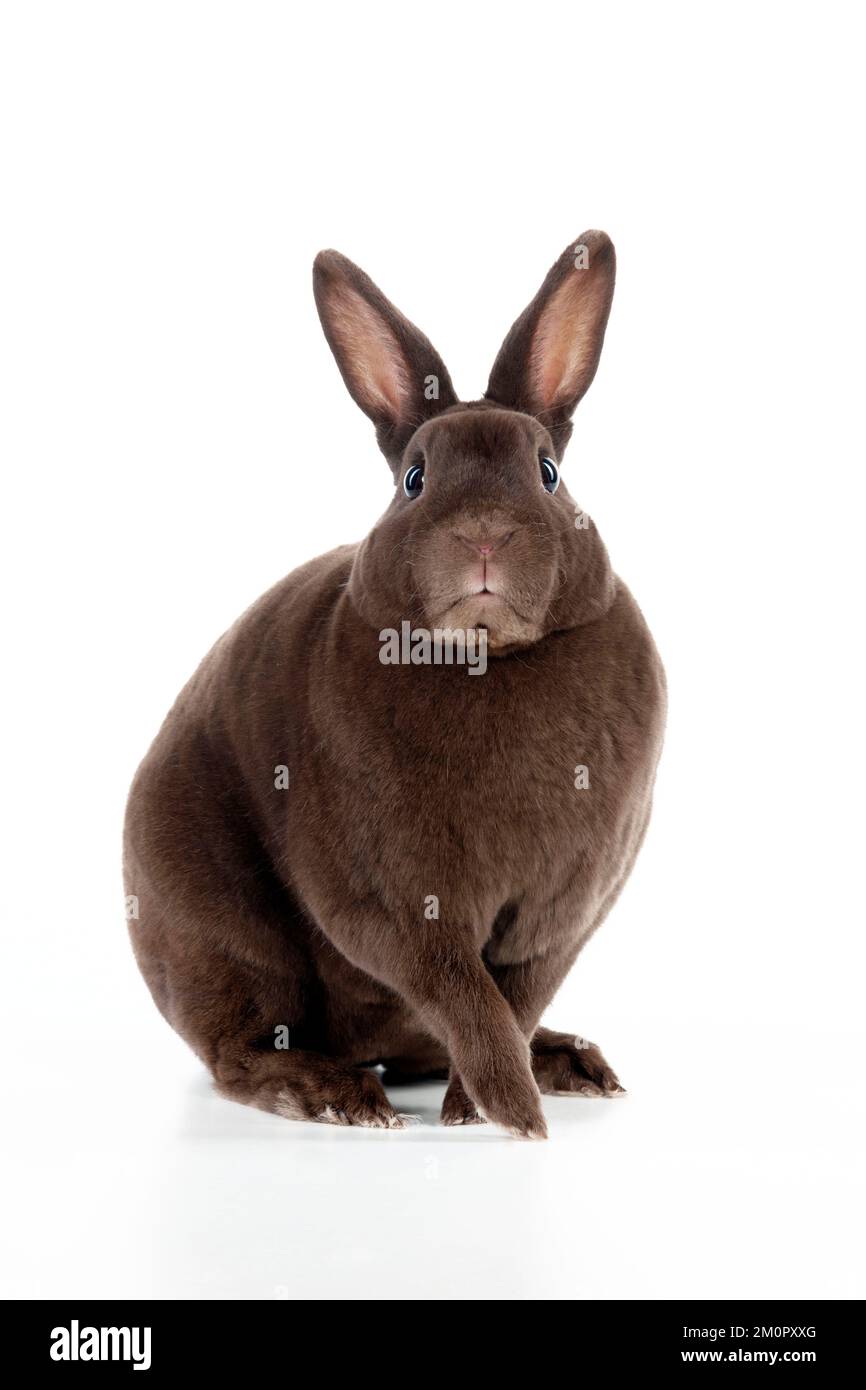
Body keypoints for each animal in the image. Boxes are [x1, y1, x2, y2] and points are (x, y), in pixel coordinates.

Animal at [123, 230, 666, 1139]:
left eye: (548, 472)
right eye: (414, 478)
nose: (483, 532)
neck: (484, 659)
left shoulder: (560, 912)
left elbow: (512, 995)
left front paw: (481, 1107)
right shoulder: (396, 901)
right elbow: (464, 994)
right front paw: (512, 1113)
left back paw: (573, 1063)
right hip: (219, 936)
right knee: (241, 1051)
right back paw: (332, 1094)